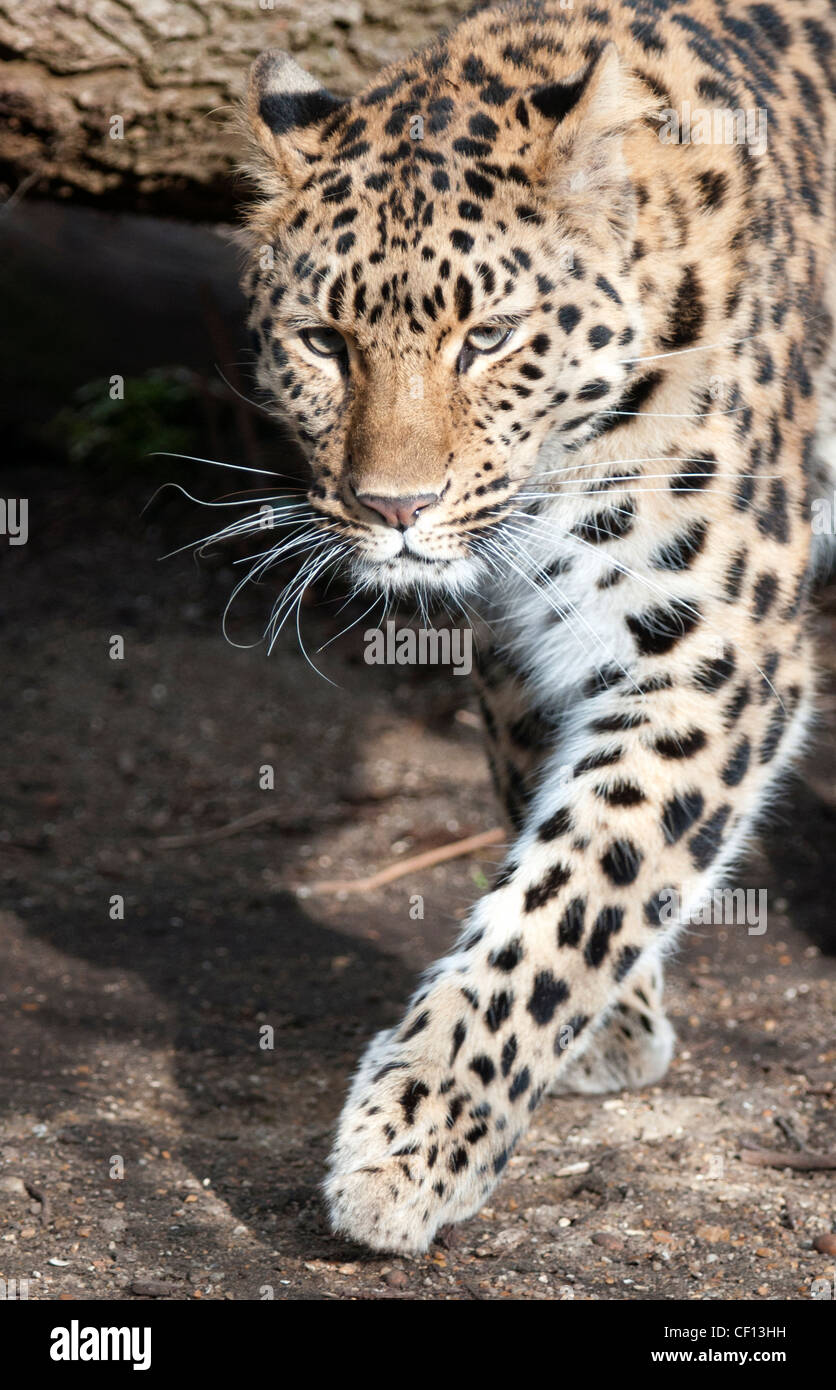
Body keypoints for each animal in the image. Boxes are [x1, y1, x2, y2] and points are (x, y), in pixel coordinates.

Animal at [234, 0, 836, 1253]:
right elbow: (549, 816)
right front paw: (613, 1020)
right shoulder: (516, 628)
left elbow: (574, 894)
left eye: (487, 336)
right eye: (322, 344)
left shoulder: (715, 659)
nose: (393, 509)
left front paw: (412, 1141)